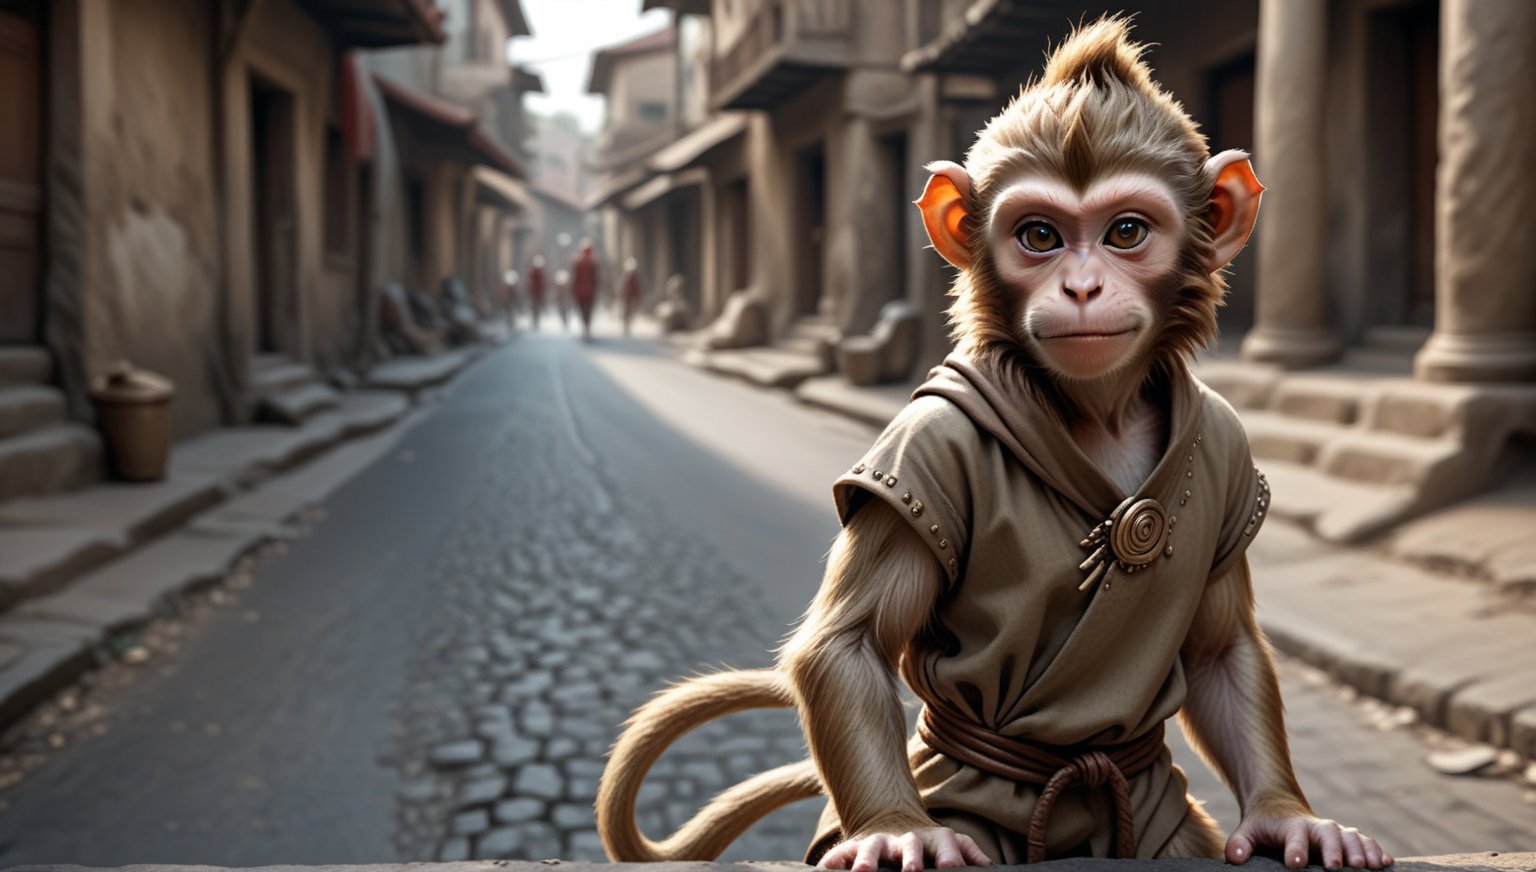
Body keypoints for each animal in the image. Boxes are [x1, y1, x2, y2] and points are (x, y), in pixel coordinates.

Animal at [597, 17, 1392, 871]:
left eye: (1127, 232)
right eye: (1039, 235)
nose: (1081, 287)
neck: (1095, 414)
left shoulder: (1228, 445)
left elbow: (1221, 648)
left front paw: (1285, 815)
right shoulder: (918, 458)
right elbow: (847, 644)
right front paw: (895, 828)